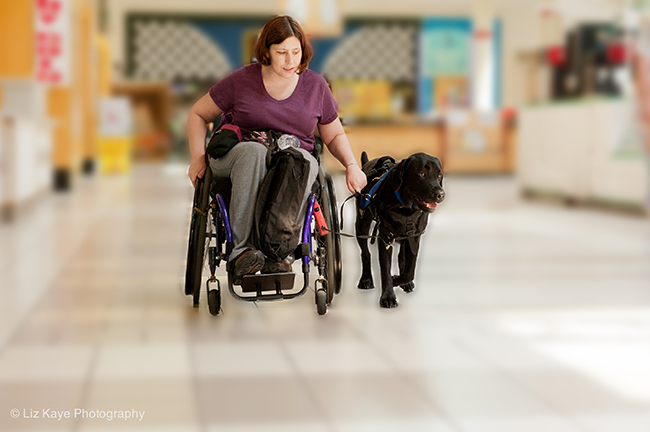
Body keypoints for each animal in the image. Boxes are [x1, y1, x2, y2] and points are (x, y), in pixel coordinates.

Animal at [354, 152, 446, 308]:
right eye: (422, 173)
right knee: (365, 253)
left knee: (402, 257)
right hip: (361, 224)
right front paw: (388, 296)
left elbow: (410, 269)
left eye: (439, 175)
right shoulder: (386, 239)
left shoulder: (414, 237)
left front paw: (398, 280)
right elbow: (385, 270)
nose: (441, 194)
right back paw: (366, 279)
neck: (406, 208)